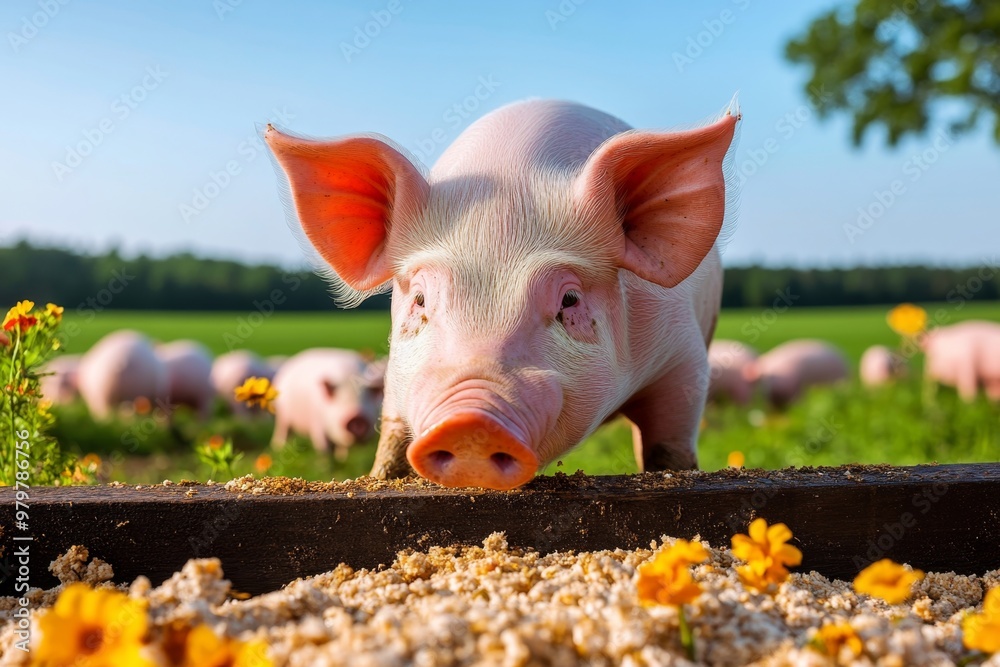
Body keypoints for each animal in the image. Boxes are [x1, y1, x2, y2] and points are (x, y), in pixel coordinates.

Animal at [265, 98, 739, 489]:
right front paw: (381, 477)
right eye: (419, 300)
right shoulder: (395, 377)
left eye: (569, 301)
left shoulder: (683, 354)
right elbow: (393, 441)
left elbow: (669, 447)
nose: (468, 422)